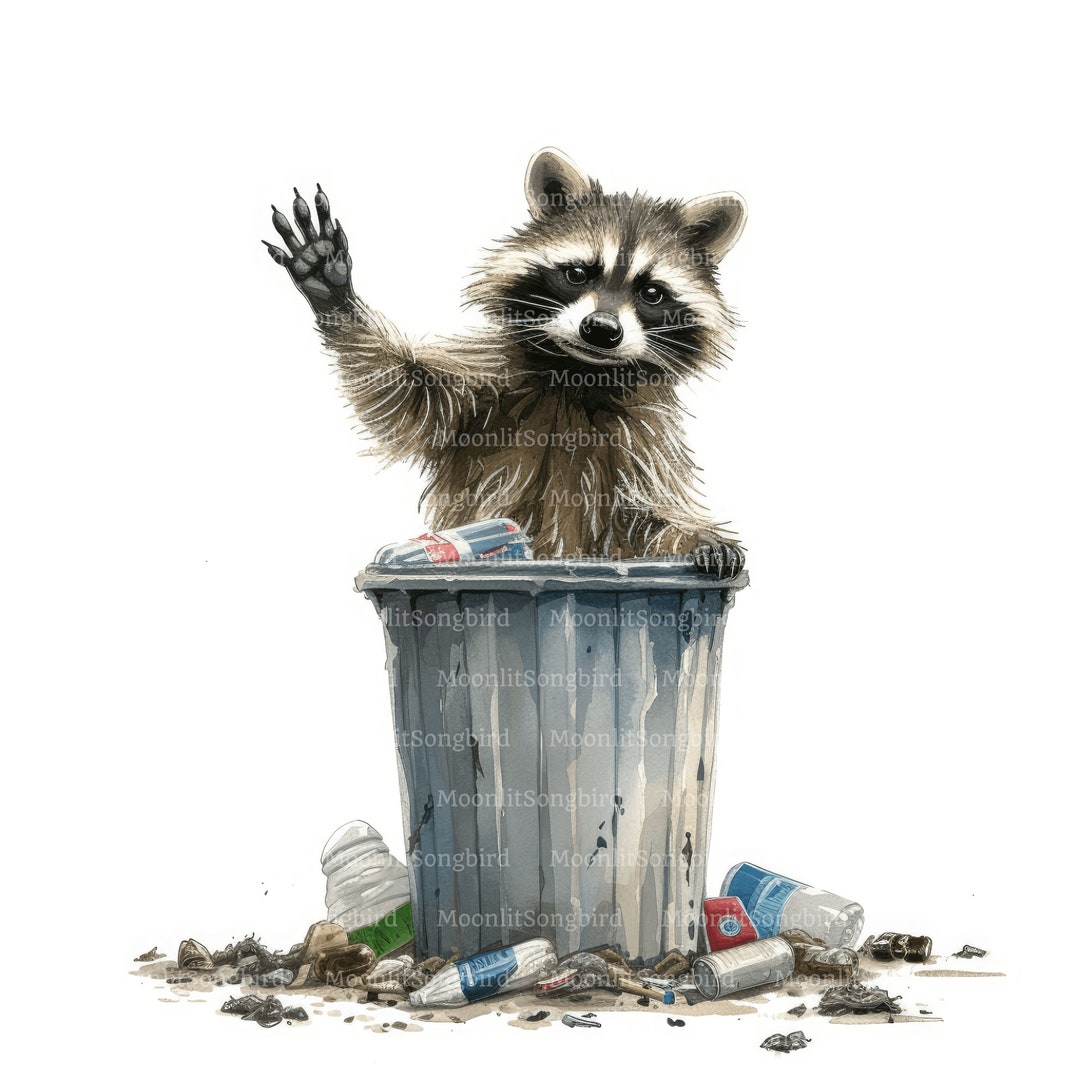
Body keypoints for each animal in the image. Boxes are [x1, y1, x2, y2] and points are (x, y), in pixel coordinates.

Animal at [264, 149, 746, 574]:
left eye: (651, 292)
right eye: (578, 273)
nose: (601, 329)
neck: (577, 372)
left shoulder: (644, 439)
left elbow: (644, 518)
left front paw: (696, 536)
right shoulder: (485, 384)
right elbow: (407, 394)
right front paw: (340, 304)